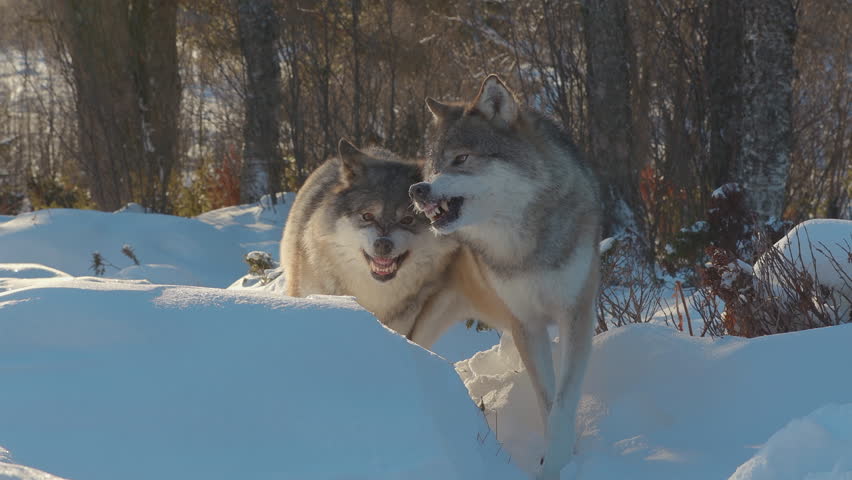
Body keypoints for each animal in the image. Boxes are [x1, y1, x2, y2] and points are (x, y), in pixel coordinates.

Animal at [409, 75, 602, 479]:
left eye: (461, 158)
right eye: (432, 166)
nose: (417, 190)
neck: (523, 244)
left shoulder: (576, 314)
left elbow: (562, 403)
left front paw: (559, 459)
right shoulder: (525, 323)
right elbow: (547, 401)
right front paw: (555, 461)